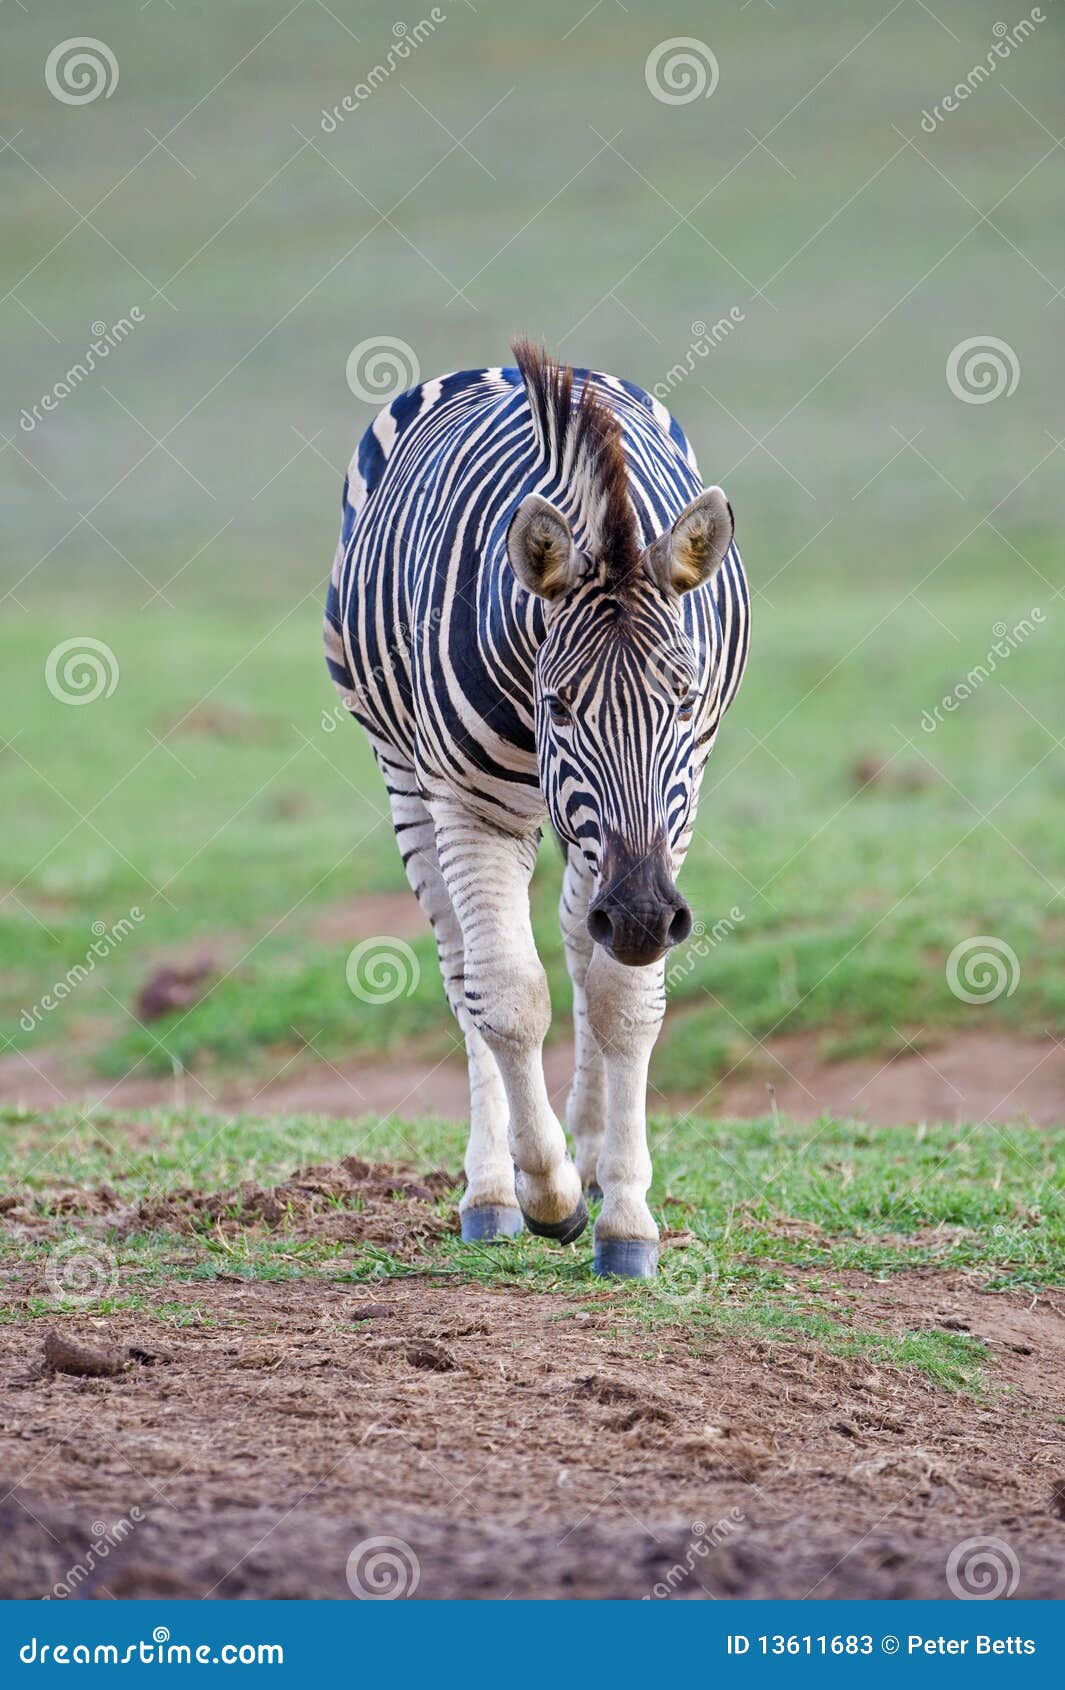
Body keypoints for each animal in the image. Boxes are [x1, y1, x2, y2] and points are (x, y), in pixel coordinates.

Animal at [324, 340, 750, 1277]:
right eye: (560, 704)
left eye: (683, 699)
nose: (642, 914)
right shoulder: (466, 807)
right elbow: (506, 994)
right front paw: (547, 1193)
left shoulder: (673, 813)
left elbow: (622, 1000)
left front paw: (623, 1211)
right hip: (405, 776)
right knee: (465, 971)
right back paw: (494, 1189)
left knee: (579, 946)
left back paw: (587, 1145)